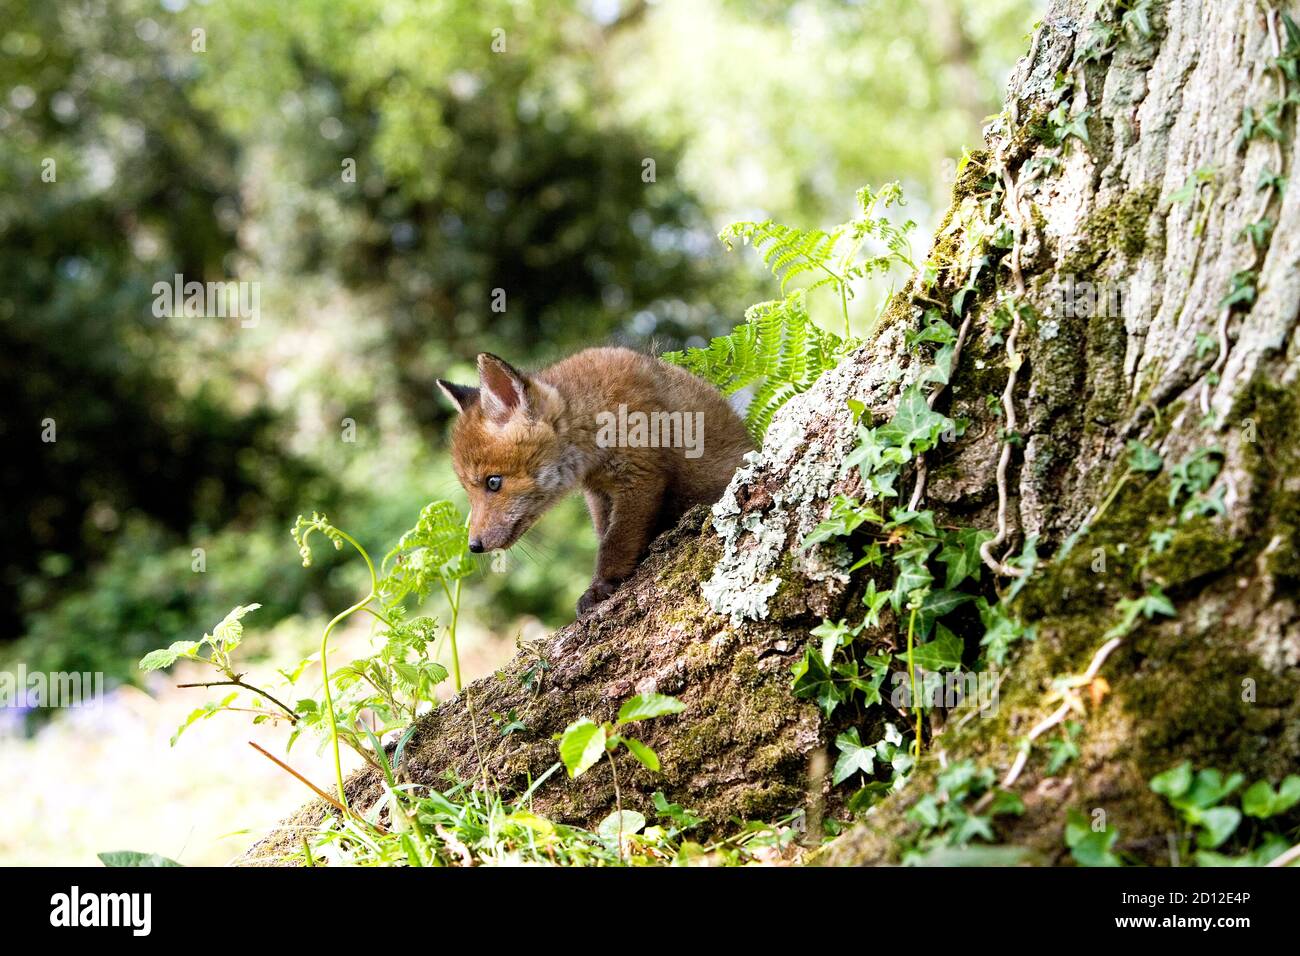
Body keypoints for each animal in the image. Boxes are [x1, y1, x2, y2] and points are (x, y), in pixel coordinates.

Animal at [437, 347, 755, 617]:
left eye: (493, 482)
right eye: (469, 491)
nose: (474, 546)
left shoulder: (641, 475)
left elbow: (614, 543)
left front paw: (601, 586)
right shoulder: (598, 492)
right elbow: (603, 534)